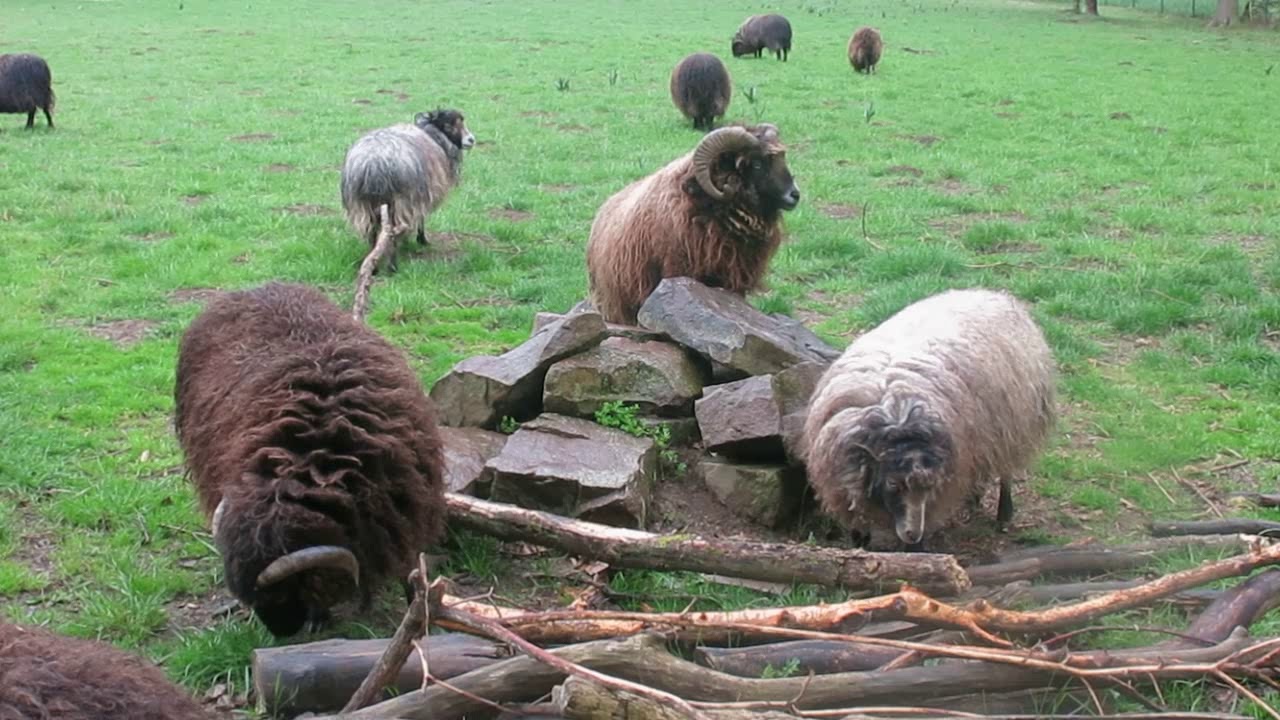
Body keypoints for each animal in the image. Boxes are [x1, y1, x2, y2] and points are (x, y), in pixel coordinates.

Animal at [174, 282, 446, 637]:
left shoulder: (403, 510)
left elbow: (411, 567)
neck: (318, 459)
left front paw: (417, 611)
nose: (281, 633)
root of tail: (254, 287)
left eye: (284, 591)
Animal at [340, 109, 475, 272]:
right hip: (400, 202)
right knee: (391, 231)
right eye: (449, 125)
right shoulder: (421, 196)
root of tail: (373, 164)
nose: (471, 140)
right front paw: (422, 240)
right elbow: (421, 219)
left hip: (364, 205)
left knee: (372, 231)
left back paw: (374, 266)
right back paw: (392, 267)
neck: (433, 134)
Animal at [802, 289, 1056, 551]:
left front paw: (916, 550)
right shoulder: (845, 485)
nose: (913, 533)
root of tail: (991, 293)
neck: (897, 418)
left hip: (1013, 425)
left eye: (929, 486)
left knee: (1006, 472)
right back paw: (973, 499)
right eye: (893, 484)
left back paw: (1003, 515)